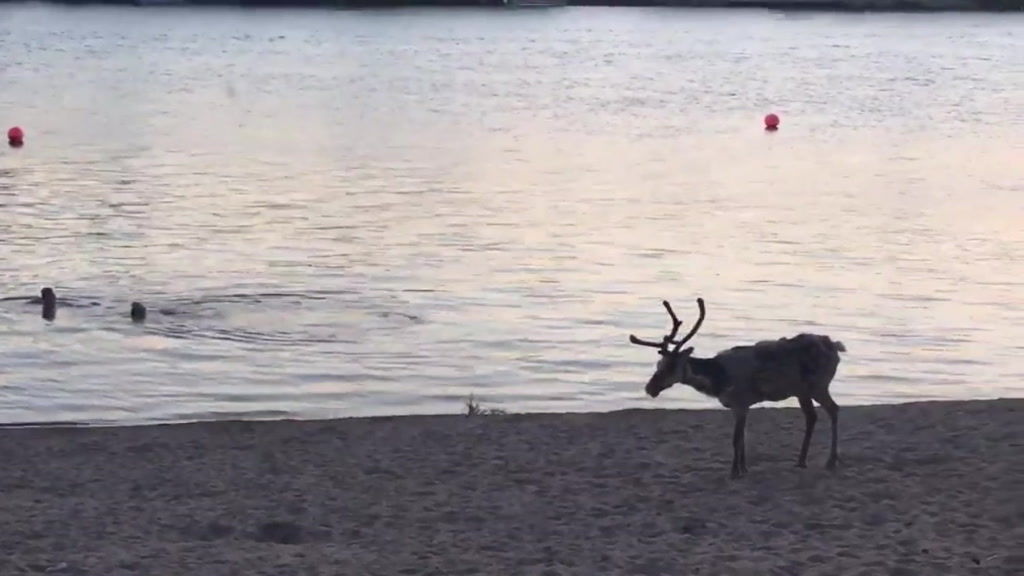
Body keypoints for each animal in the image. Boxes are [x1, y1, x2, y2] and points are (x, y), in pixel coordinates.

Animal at [628, 298, 846, 479]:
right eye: (658, 364)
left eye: (671, 366)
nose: (650, 388)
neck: (718, 379)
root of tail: (835, 346)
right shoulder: (738, 406)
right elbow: (742, 438)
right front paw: (743, 468)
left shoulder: (741, 402)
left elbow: (735, 438)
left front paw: (734, 471)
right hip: (802, 391)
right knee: (812, 416)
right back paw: (801, 461)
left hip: (818, 385)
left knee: (833, 409)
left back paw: (830, 461)